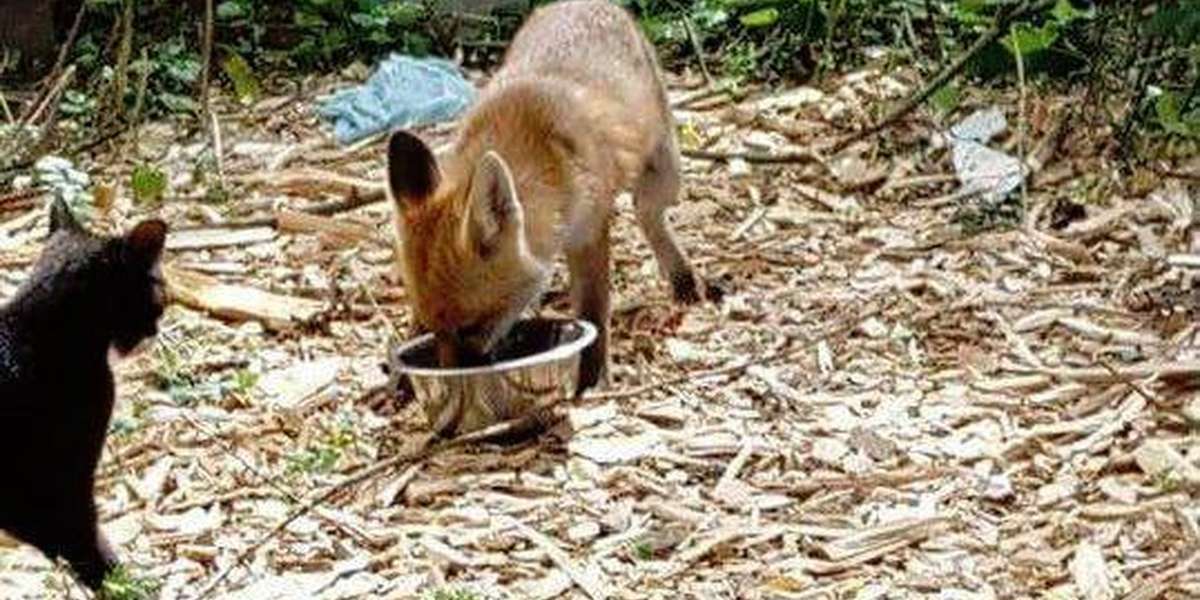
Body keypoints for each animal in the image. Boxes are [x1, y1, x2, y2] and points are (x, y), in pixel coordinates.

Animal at [385, 0, 705, 391]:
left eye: (470, 328)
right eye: (432, 330)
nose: (450, 382)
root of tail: (584, 3)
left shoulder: (589, 231)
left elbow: (594, 313)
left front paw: (593, 378)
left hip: (664, 172)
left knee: (648, 214)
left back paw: (683, 279)